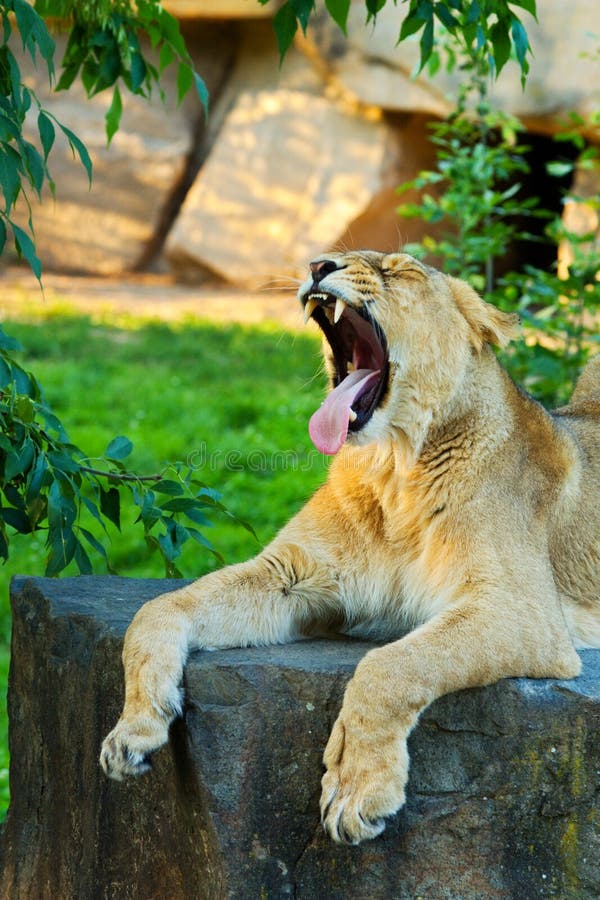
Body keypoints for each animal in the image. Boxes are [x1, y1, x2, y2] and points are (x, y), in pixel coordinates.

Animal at [100, 251, 600, 845]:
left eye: (402, 271)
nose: (319, 264)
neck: (394, 474)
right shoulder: (293, 573)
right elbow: (156, 610)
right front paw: (133, 728)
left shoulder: (523, 612)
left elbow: (390, 665)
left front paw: (358, 790)